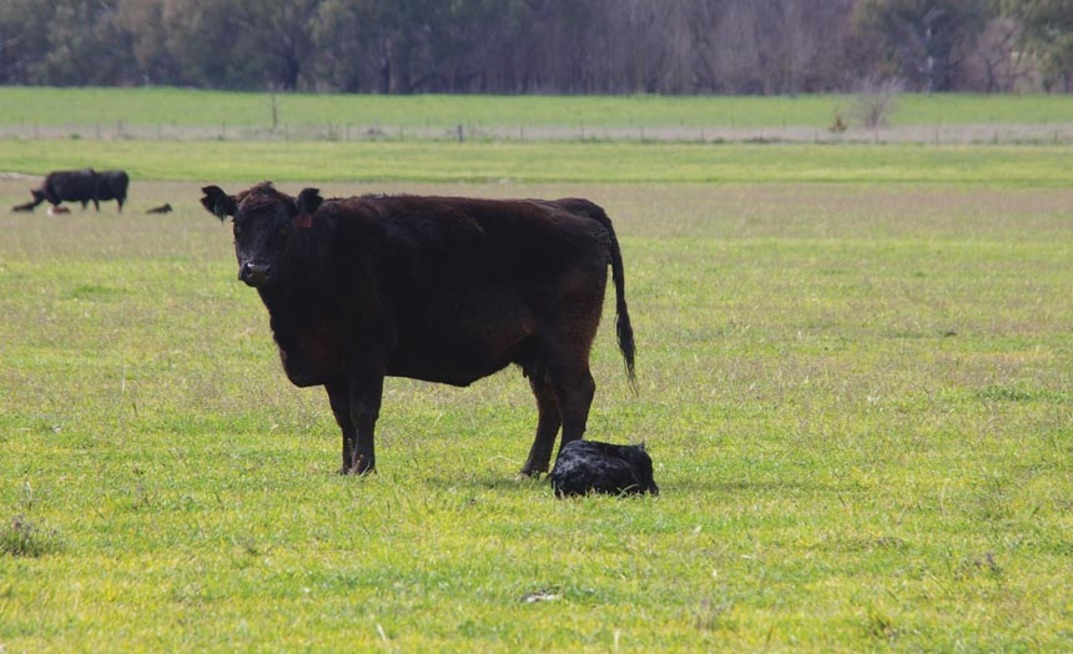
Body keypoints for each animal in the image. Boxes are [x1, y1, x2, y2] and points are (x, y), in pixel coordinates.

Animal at [200, 182, 636, 477]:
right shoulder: (333, 366)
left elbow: (363, 411)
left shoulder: (367, 352)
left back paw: (563, 463)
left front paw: (364, 467)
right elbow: (342, 416)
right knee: (549, 405)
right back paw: (530, 468)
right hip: (535, 353)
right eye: (237, 227)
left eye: (284, 229)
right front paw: (345, 467)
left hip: (566, 344)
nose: (257, 269)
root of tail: (568, 205)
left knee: (576, 394)